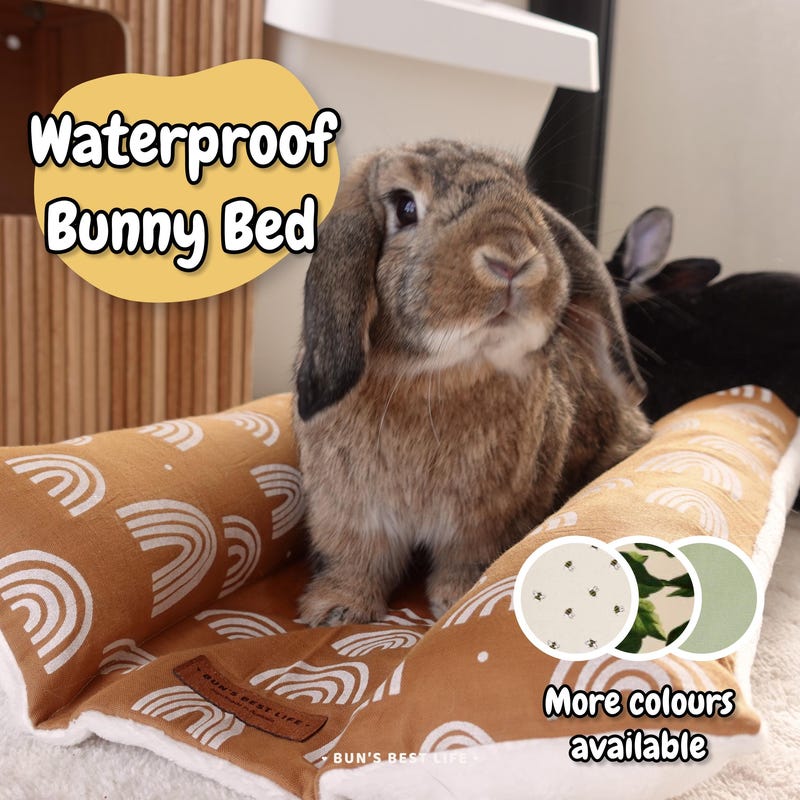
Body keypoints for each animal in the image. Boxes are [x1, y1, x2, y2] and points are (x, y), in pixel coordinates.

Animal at [293, 140, 651, 627]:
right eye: (404, 206)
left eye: (525, 195)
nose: (512, 257)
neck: (437, 377)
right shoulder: (349, 513)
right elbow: (355, 559)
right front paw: (336, 610)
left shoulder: (485, 522)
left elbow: (467, 561)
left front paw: (459, 600)